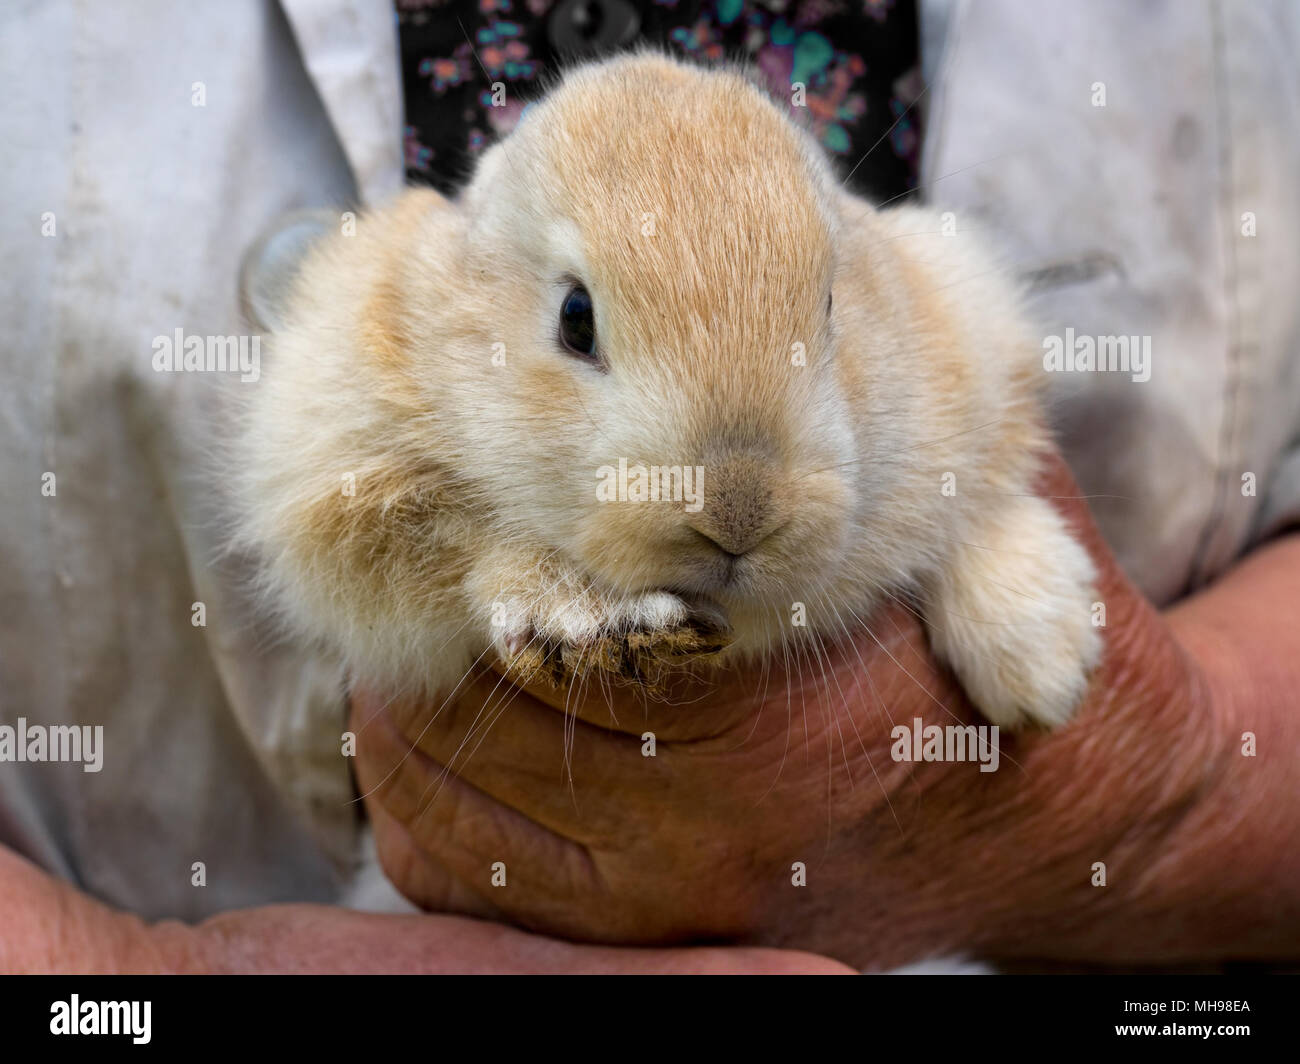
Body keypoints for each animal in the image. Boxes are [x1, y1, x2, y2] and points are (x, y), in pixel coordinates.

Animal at [233, 52, 1101, 731]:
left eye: (830, 306)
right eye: (575, 318)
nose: (739, 511)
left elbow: (984, 503)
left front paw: (1045, 668)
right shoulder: (340, 476)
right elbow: (460, 542)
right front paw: (597, 620)